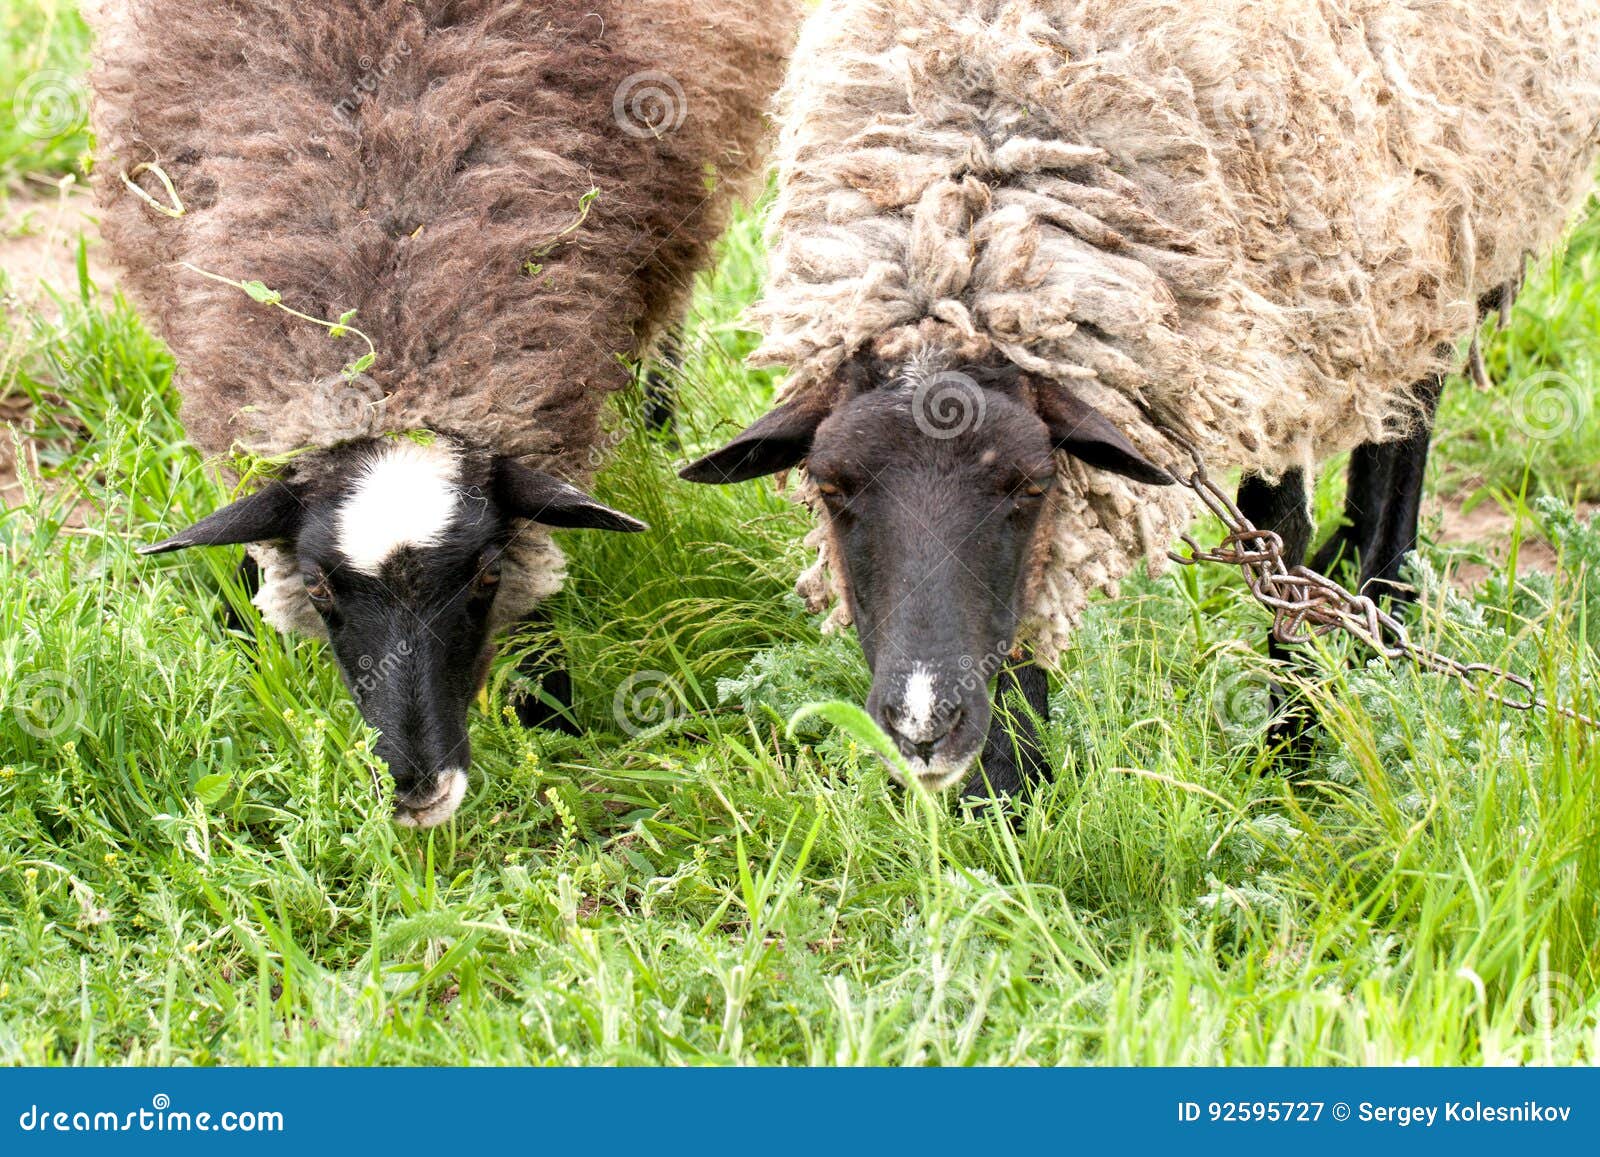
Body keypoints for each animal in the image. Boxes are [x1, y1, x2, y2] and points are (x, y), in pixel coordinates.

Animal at [681, 0, 1600, 795]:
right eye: (830, 487)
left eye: (1028, 486)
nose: (920, 724)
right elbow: (1032, 611)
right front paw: (1007, 800)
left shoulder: (1284, 332)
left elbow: (1281, 541)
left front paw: (1293, 752)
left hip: (1437, 230)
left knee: (1404, 428)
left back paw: (1377, 613)